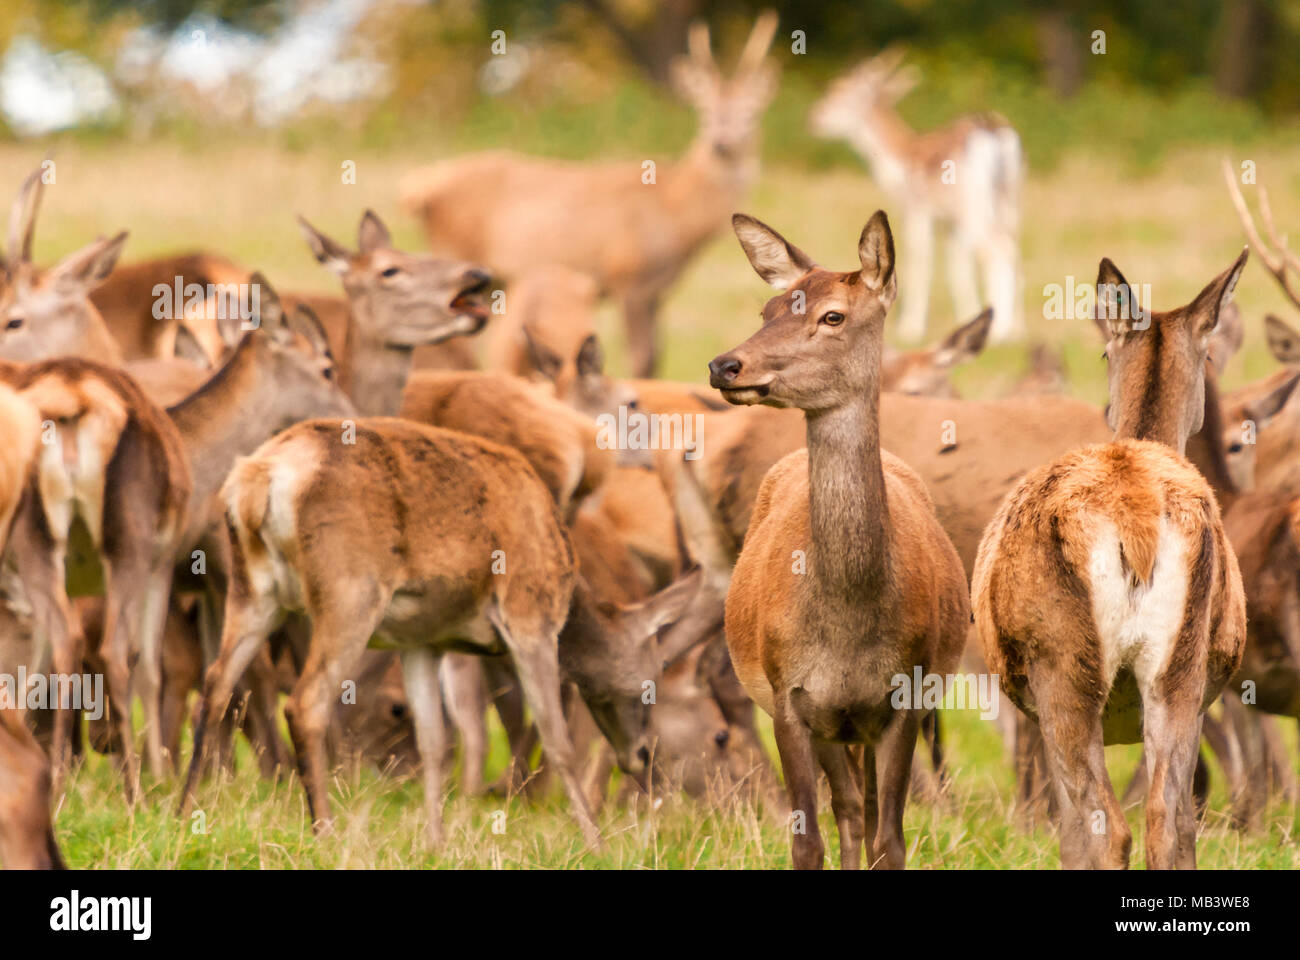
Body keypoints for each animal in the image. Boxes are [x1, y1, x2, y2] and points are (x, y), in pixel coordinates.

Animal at [400, 11, 779, 377]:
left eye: (751, 115)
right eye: (703, 112)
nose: (722, 143)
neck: (676, 212)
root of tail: (419, 190)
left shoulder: (657, 289)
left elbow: (656, 356)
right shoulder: (629, 275)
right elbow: (641, 358)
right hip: (456, 251)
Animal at [706, 210, 970, 870]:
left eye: (833, 316)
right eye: (768, 308)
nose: (725, 366)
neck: (848, 628)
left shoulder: (906, 696)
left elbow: (889, 840)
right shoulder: (790, 697)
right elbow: (809, 840)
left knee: (864, 809)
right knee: (848, 808)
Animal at [811, 50, 1023, 343]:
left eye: (838, 90)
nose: (814, 117)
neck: (901, 163)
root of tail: (995, 131)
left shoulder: (918, 208)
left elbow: (920, 260)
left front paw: (910, 329)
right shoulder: (950, 221)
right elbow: (958, 267)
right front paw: (967, 320)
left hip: (973, 205)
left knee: (998, 248)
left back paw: (1000, 331)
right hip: (1009, 199)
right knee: (1013, 247)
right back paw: (1016, 329)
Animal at [972, 251, 1250, 869]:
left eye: (1102, 354)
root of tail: (1134, 515)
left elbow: (1070, 833)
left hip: (1061, 665)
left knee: (1104, 828)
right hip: (1182, 668)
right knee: (1167, 819)